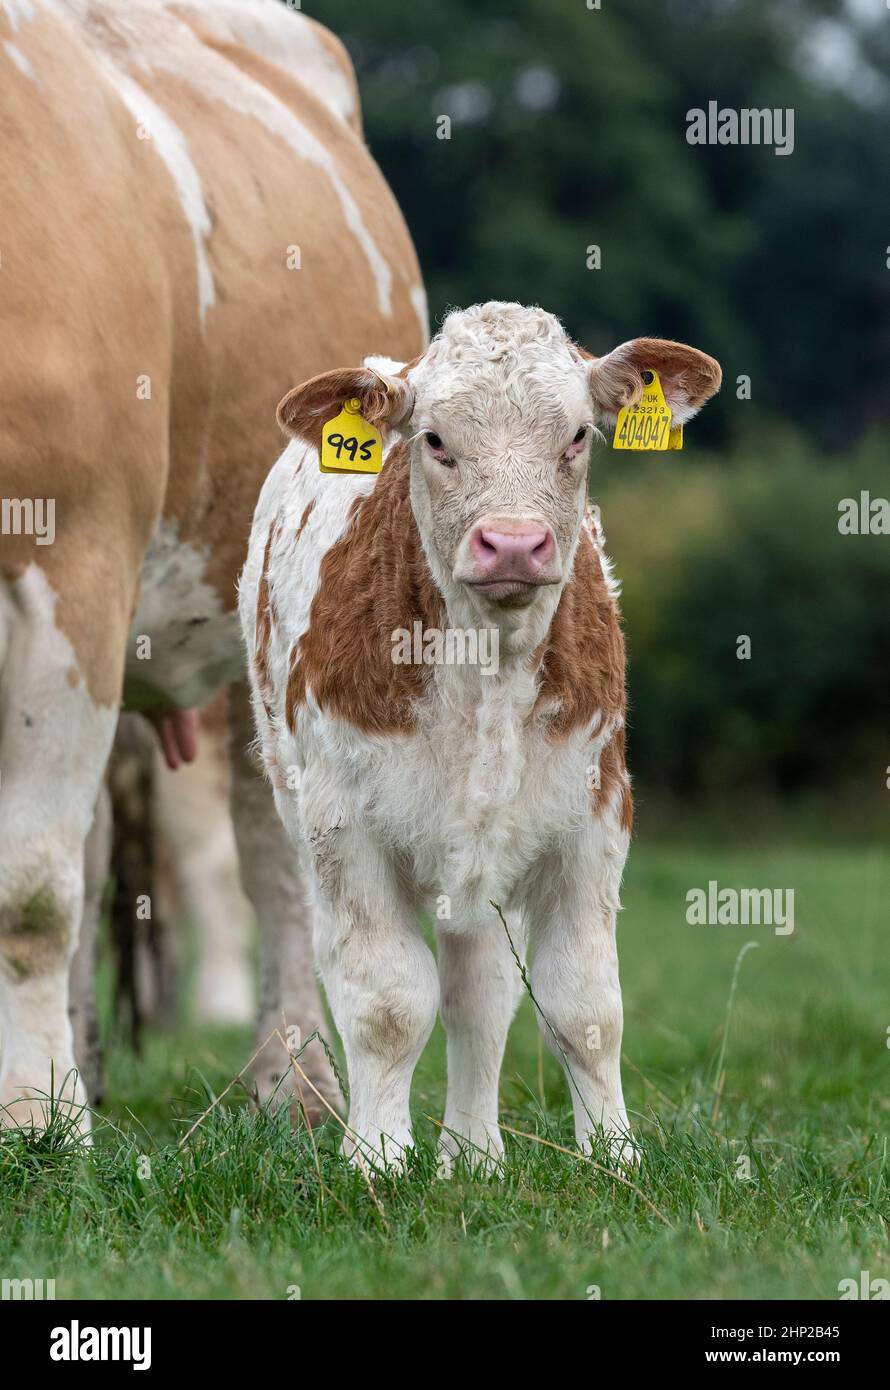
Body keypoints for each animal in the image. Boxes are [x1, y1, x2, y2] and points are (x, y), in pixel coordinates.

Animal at [0, 0, 426, 1131]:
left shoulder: (75, 560)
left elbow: (29, 891)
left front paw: (28, 1119)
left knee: (274, 848)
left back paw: (294, 1075)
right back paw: (84, 1065)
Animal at [240, 302, 721, 1168]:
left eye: (578, 434)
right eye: (433, 439)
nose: (514, 544)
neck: (488, 671)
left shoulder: (595, 815)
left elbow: (585, 1006)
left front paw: (614, 1158)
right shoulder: (343, 825)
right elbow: (387, 1003)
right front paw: (377, 1158)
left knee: (481, 992)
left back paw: (474, 1155)